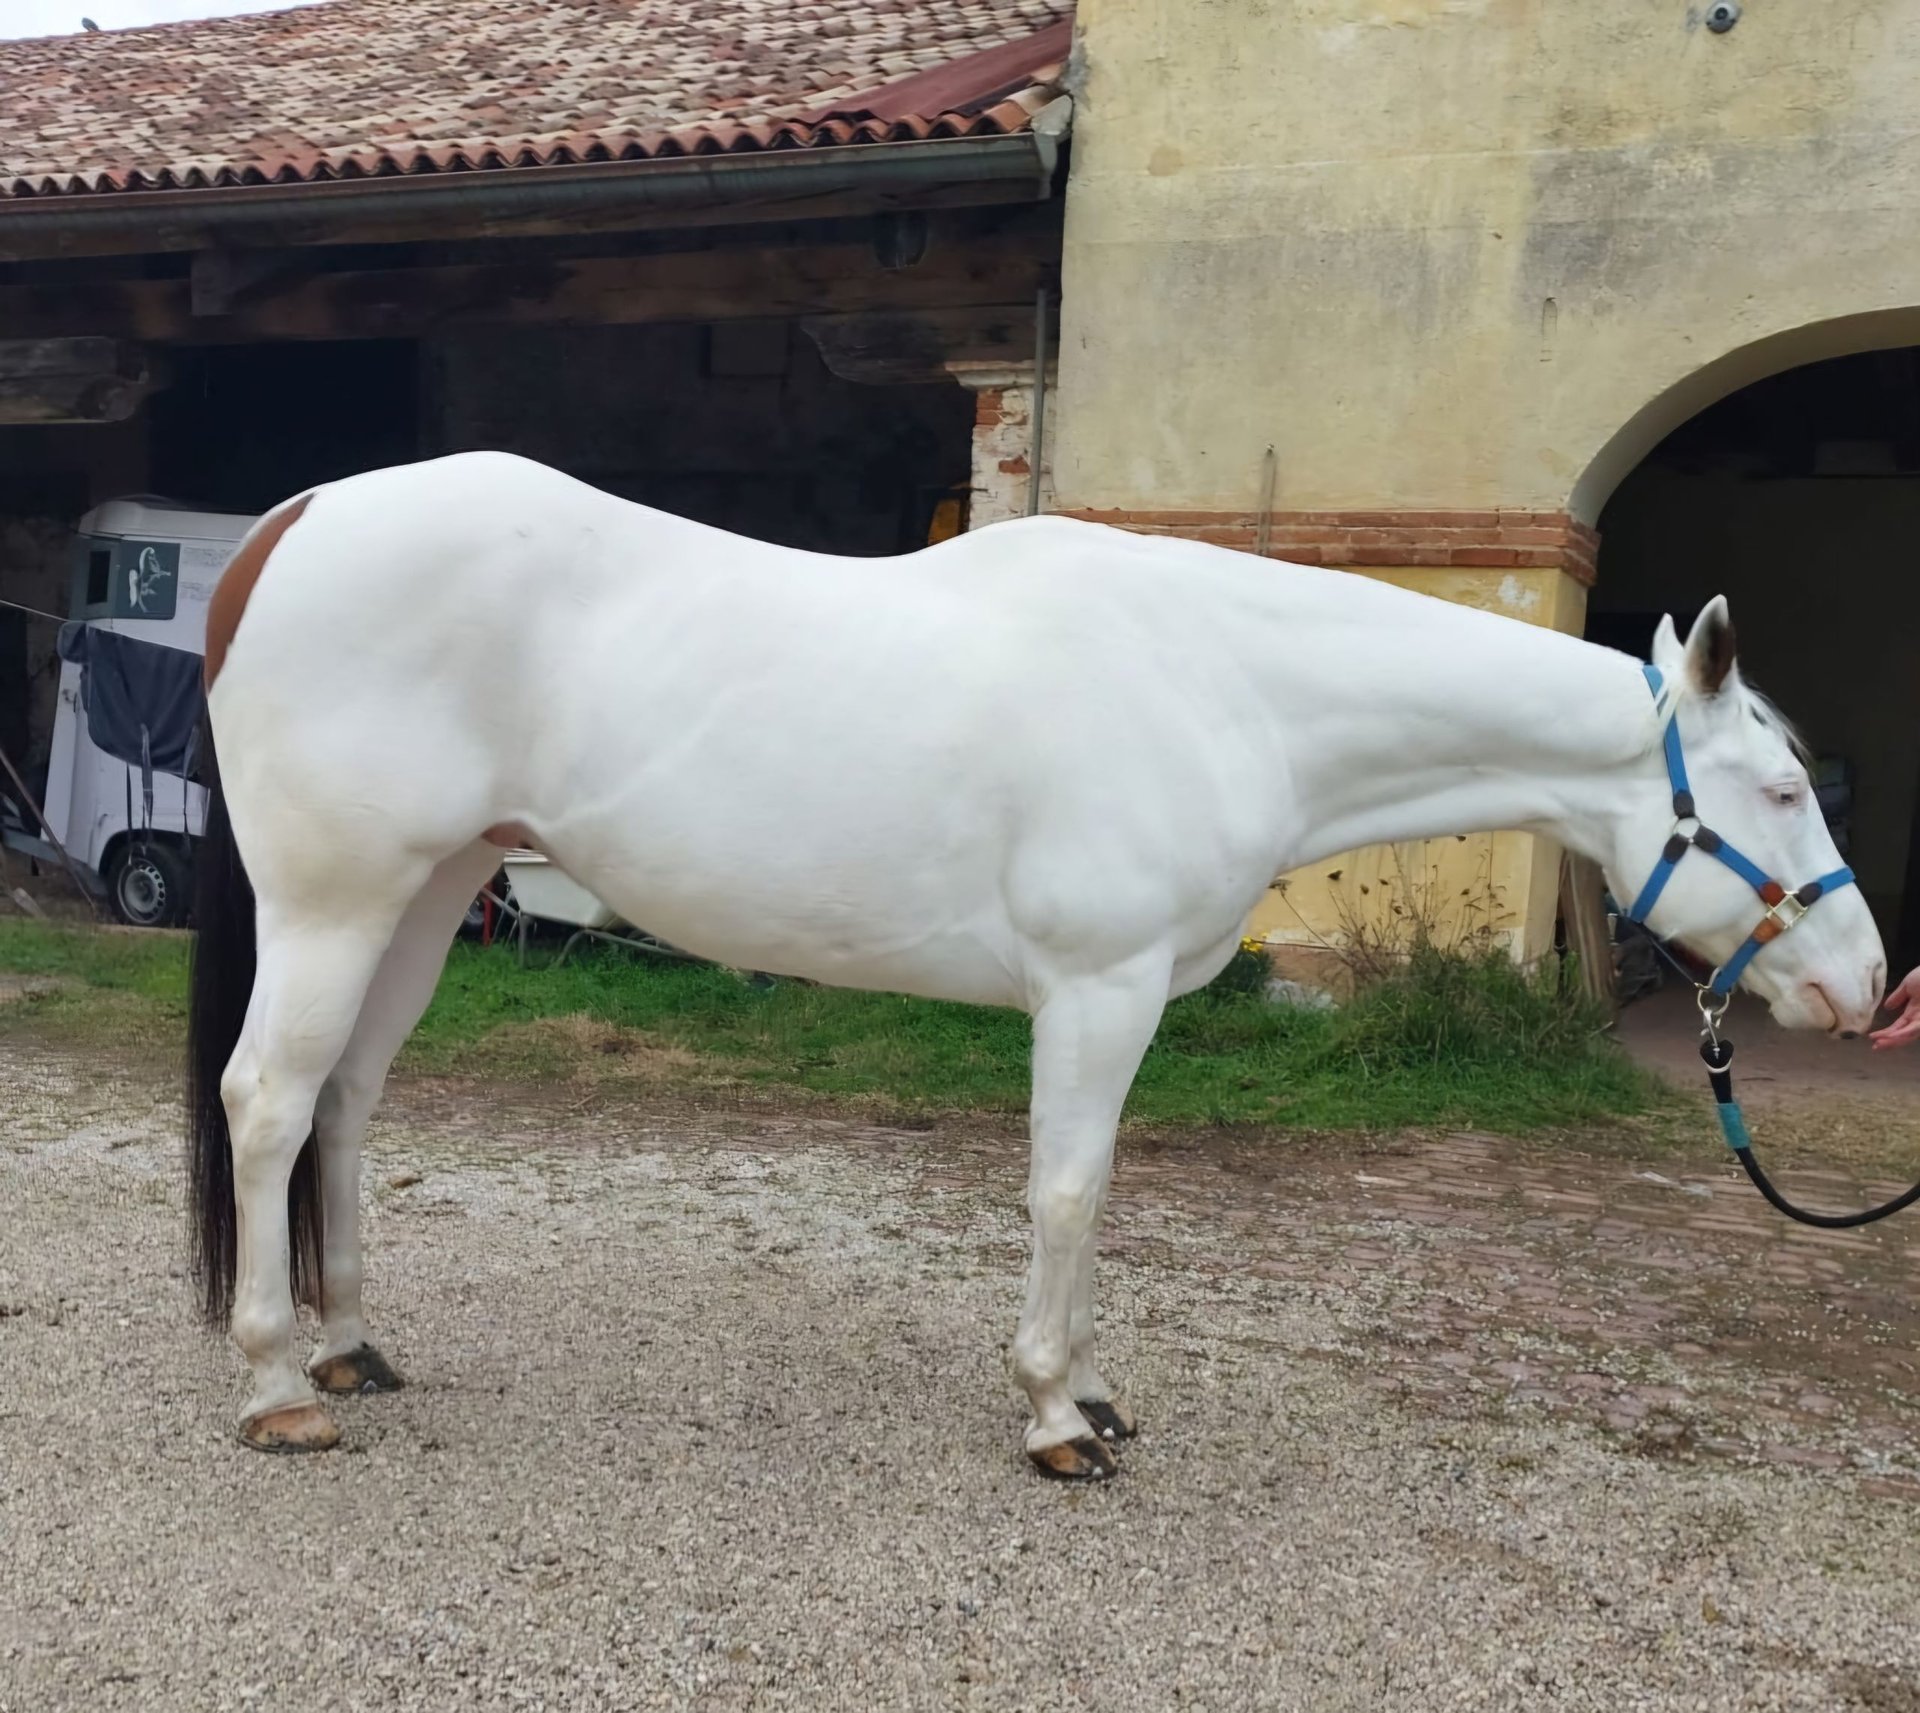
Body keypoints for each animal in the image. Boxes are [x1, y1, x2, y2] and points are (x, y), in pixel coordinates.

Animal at [185, 450, 1886, 1478]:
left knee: (347, 1101)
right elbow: (1067, 1191)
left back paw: (350, 1347)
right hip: (333, 899)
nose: (1868, 988)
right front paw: (1059, 1413)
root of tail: (292, 523)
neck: (1224, 682)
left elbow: (1097, 1191)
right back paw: (273, 1387)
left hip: (423, 895)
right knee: (268, 1099)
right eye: (1779, 787)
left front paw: (1088, 1386)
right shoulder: (1097, 989)